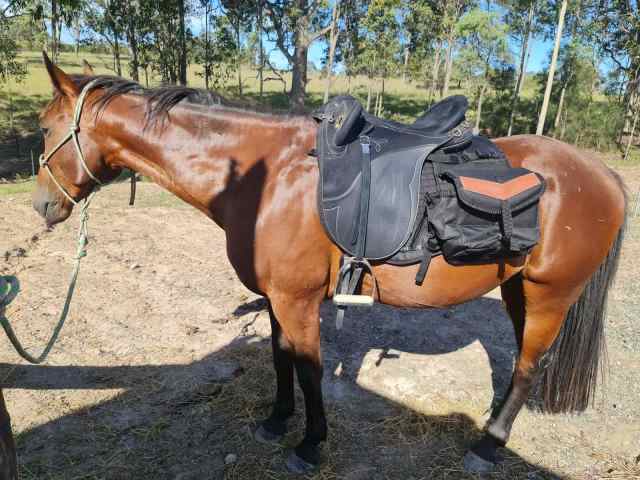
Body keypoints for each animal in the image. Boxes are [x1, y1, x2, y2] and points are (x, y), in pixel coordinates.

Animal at [31, 52, 626, 474]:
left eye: (43, 126)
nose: (41, 205)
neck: (263, 177)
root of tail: (602, 174)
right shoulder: (276, 299)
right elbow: (281, 361)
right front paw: (276, 422)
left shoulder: (297, 302)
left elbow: (311, 371)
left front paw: (310, 445)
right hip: (517, 289)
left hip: (550, 293)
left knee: (528, 367)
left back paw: (487, 446)